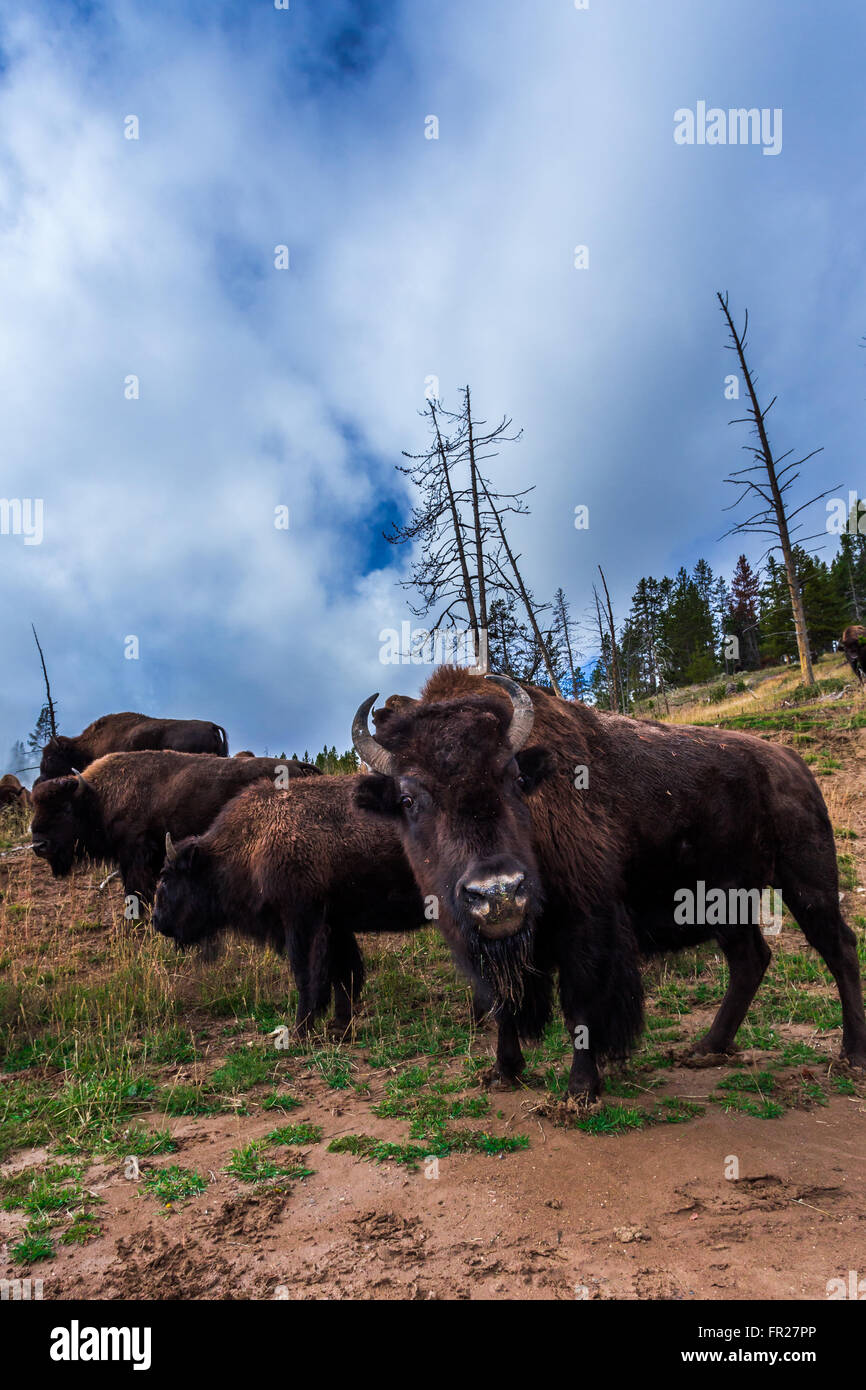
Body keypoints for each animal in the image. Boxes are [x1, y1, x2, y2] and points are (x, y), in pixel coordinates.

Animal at [30, 751, 319, 903]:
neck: (98, 796)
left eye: (65, 808)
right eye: (36, 807)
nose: (39, 844)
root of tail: (301, 766)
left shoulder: (135, 854)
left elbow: (136, 890)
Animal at [152, 777, 429, 1033]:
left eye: (166, 877)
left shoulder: (301, 921)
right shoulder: (336, 926)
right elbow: (345, 974)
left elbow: (306, 975)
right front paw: (339, 1028)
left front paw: (300, 1031)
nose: (157, 920)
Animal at [352, 666, 866, 1100]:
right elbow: (503, 1004)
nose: (498, 892)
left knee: (838, 946)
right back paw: (706, 1048)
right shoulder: (480, 944)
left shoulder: (586, 929)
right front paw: (503, 1072)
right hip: (727, 902)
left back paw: (851, 1056)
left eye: (514, 777)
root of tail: (791, 761)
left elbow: (580, 1006)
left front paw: (580, 1090)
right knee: (751, 960)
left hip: (807, 880)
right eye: (408, 798)